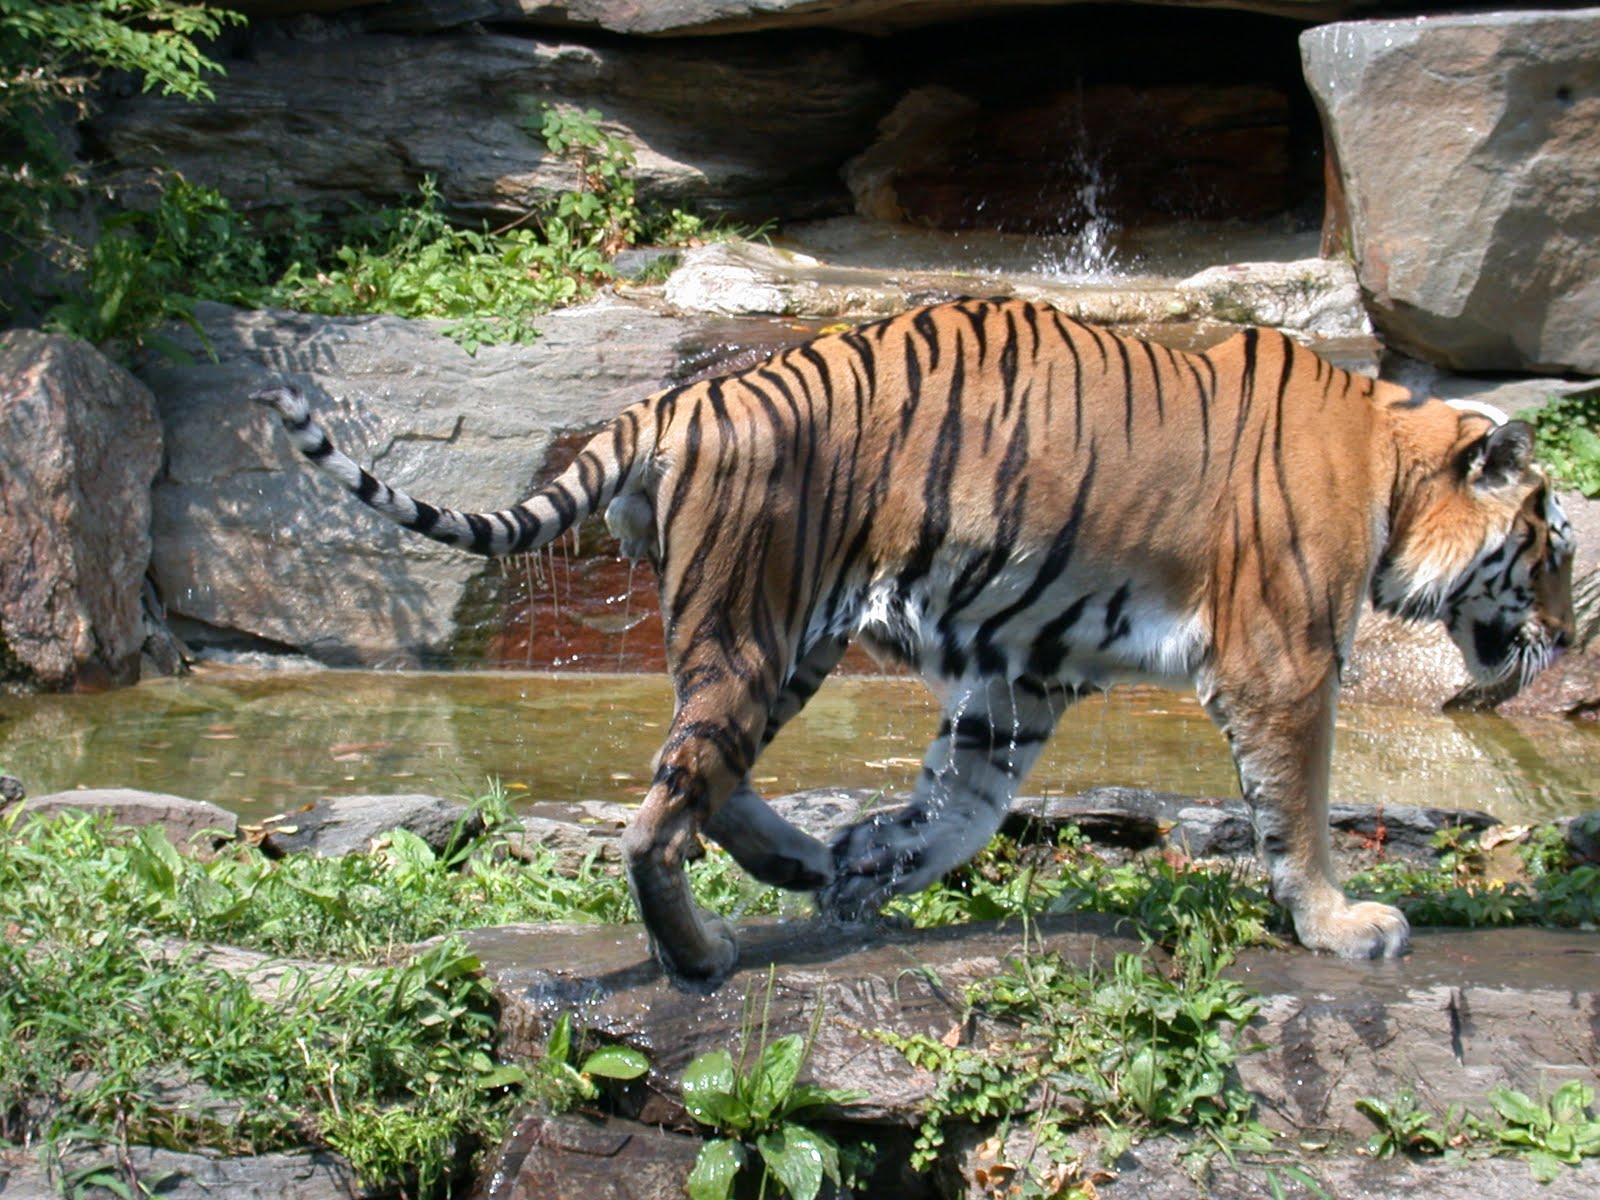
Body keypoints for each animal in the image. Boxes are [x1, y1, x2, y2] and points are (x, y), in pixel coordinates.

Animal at [252, 296, 1575, 990]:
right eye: (1553, 544)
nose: (1565, 640)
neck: (1390, 464)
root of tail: (680, 393)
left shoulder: (1022, 675)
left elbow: (959, 808)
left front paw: (872, 862)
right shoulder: (1284, 664)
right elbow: (1297, 813)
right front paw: (1344, 927)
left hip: (776, 638)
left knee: (703, 774)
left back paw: (802, 866)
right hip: (761, 617)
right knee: (660, 809)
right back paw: (703, 952)